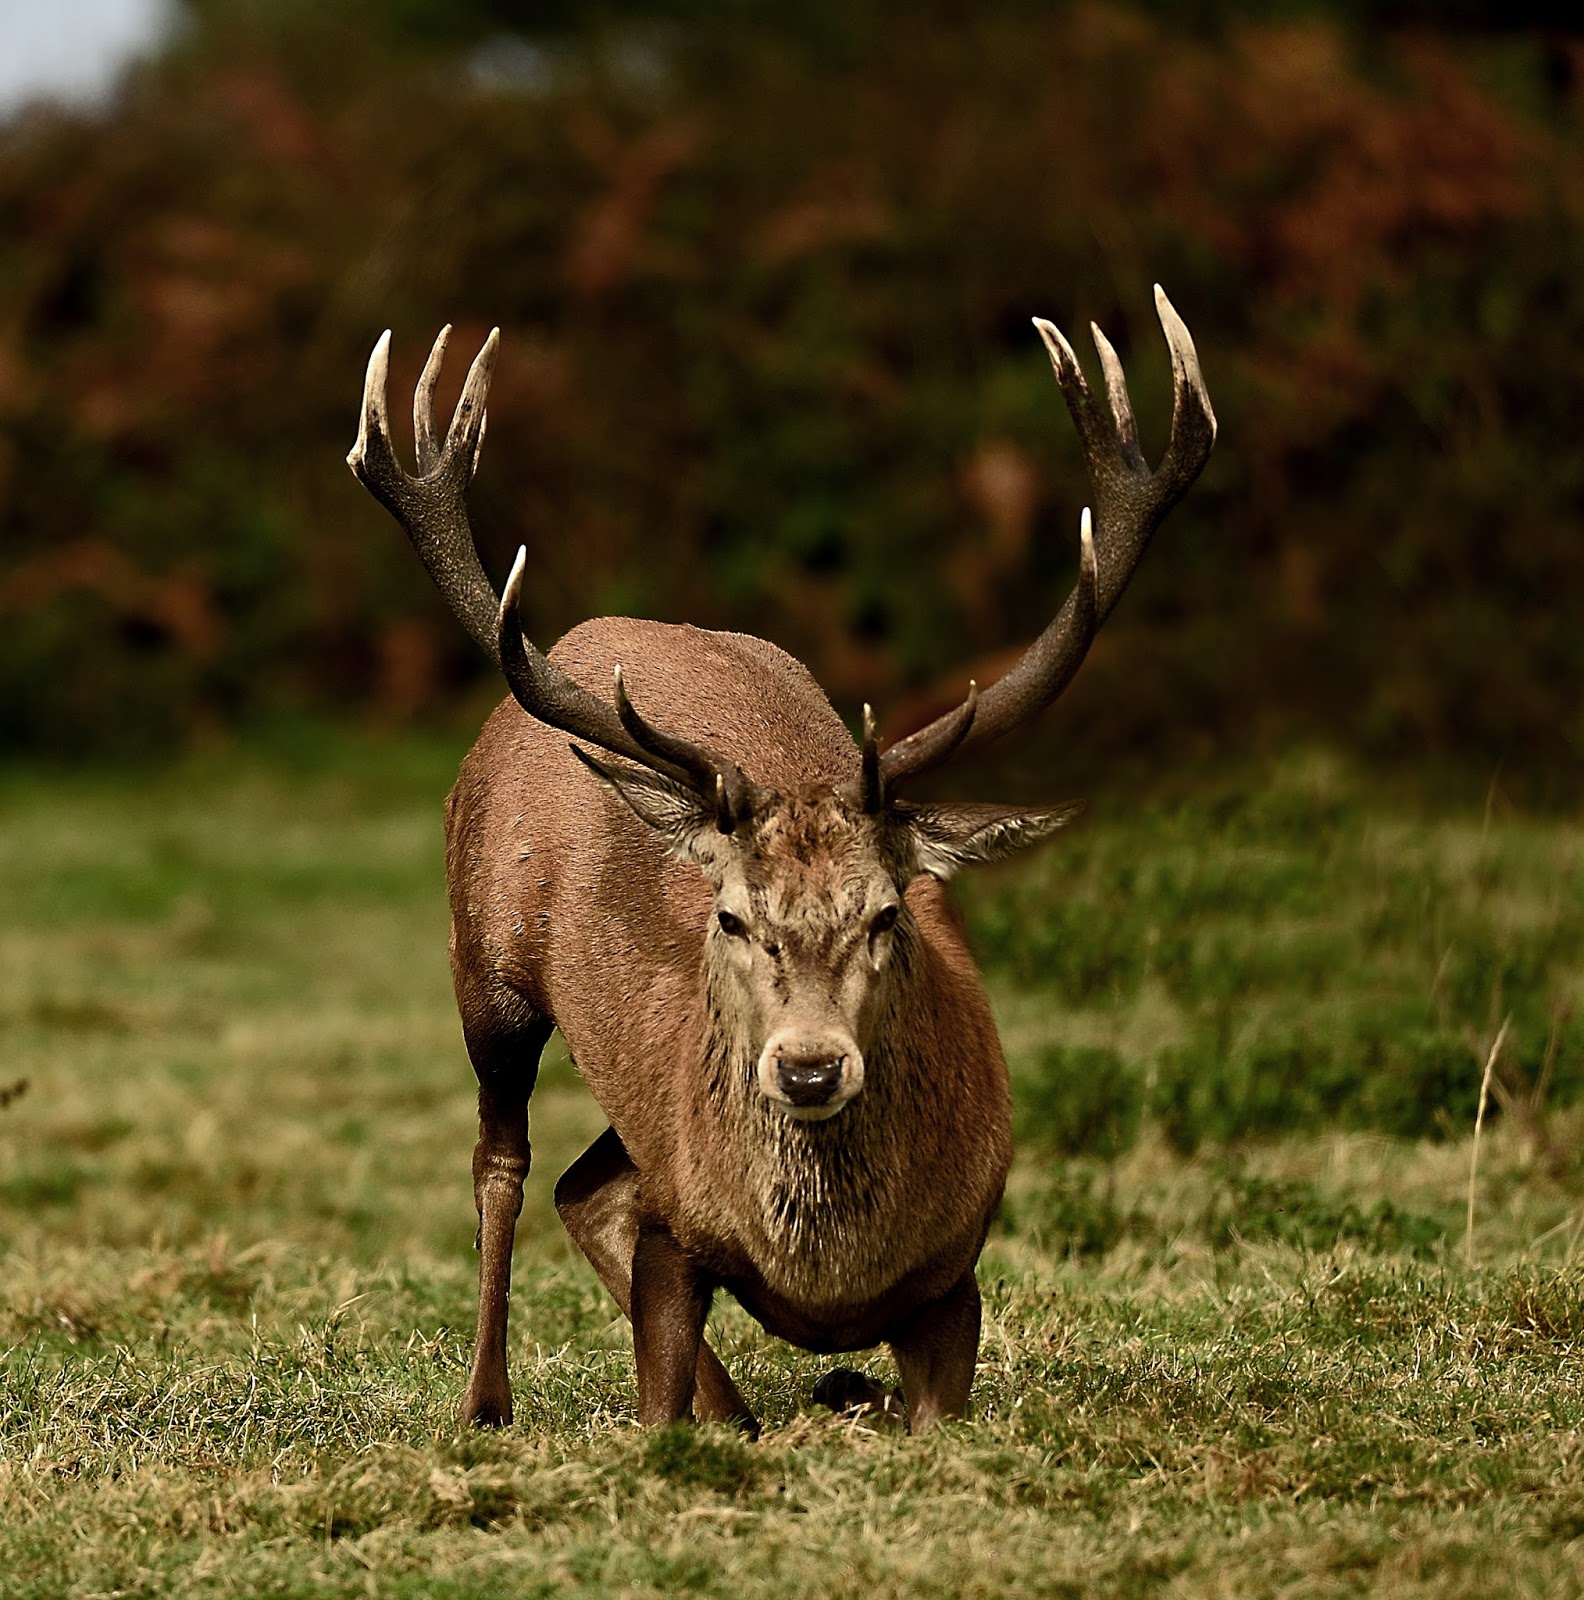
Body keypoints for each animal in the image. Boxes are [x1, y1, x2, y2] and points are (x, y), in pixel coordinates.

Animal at [346, 286, 1214, 1435]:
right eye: (730, 914)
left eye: (889, 912)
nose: (807, 1066)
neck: (828, 1282)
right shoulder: (676, 1240)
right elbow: (655, 1384)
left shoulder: (958, 1276)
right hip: (482, 951)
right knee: (504, 1157)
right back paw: (488, 1400)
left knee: (589, 1184)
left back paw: (747, 1408)